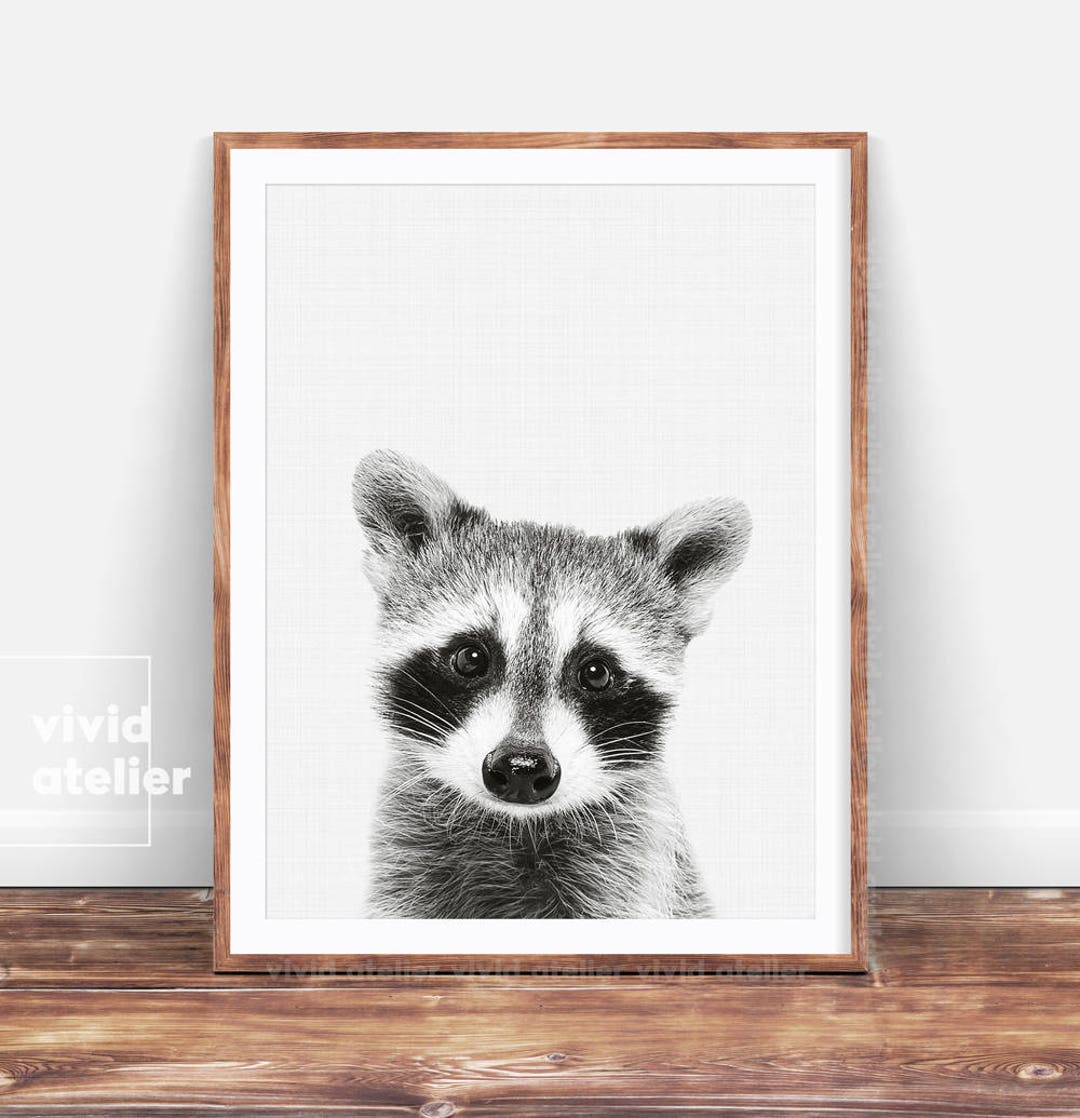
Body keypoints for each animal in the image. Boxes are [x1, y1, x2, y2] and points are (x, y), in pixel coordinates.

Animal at [352, 450, 751, 920]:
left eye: (596, 673)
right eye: (471, 658)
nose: (522, 769)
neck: (515, 826)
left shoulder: (628, 866)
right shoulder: (408, 865)